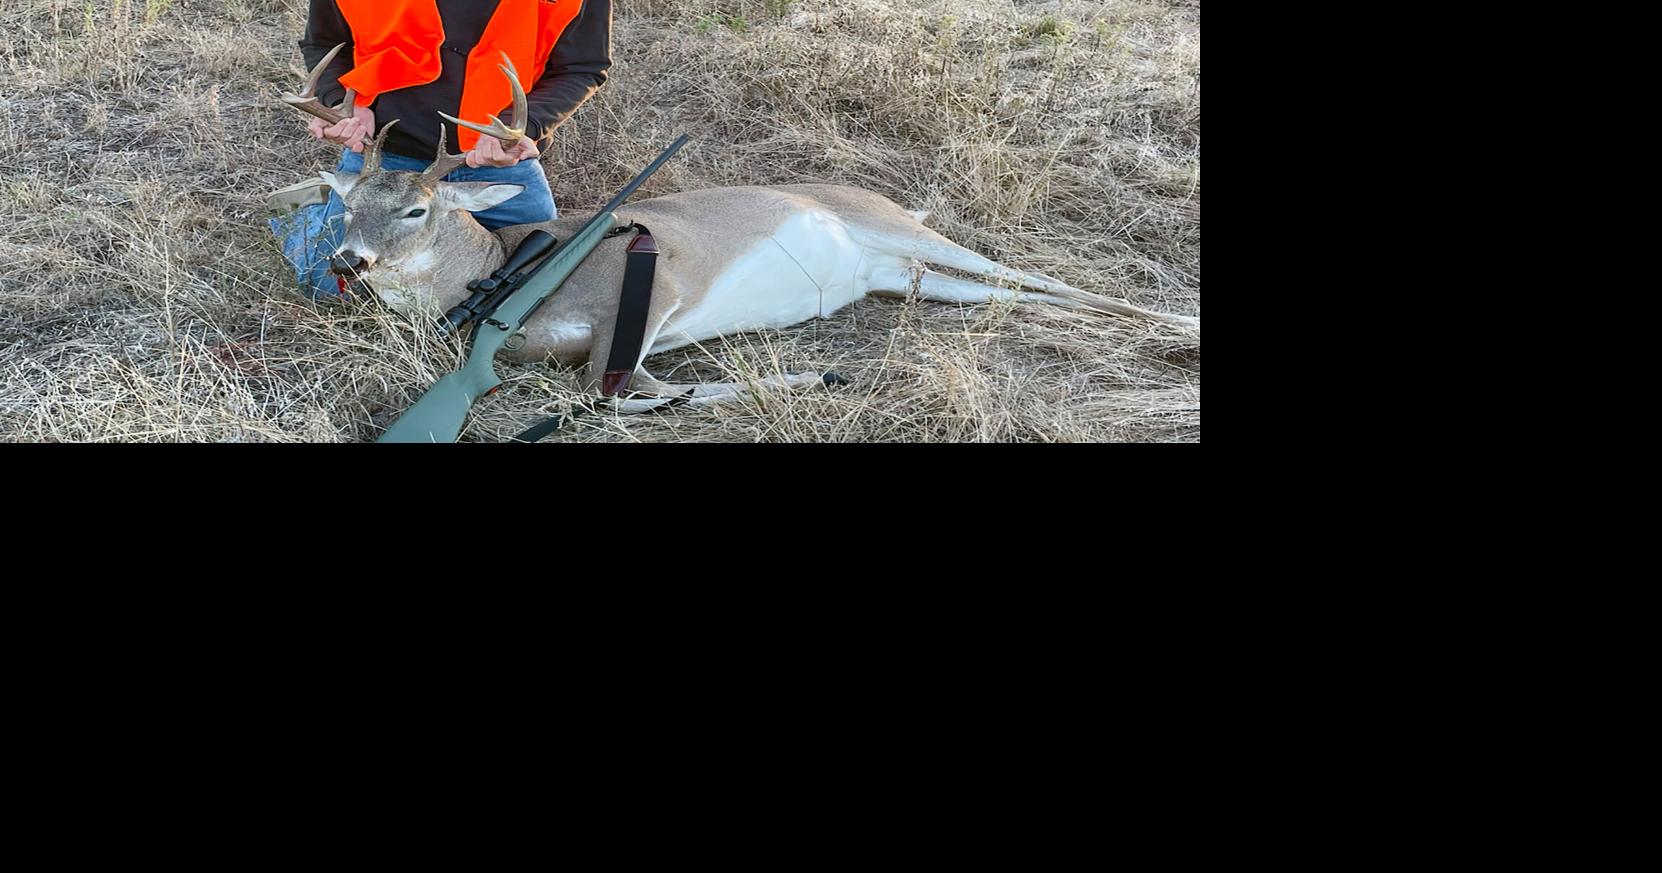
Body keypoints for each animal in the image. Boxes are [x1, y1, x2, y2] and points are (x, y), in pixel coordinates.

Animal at [281, 48, 1200, 413]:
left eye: (416, 209)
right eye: (345, 206)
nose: (348, 258)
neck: (499, 271)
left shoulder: (653, 284)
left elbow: (617, 391)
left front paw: (800, 379)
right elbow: (627, 390)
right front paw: (799, 379)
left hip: (905, 232)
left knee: (1051, 280)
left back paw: (1177, 320)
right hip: (906, 276)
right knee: (1017, 295)